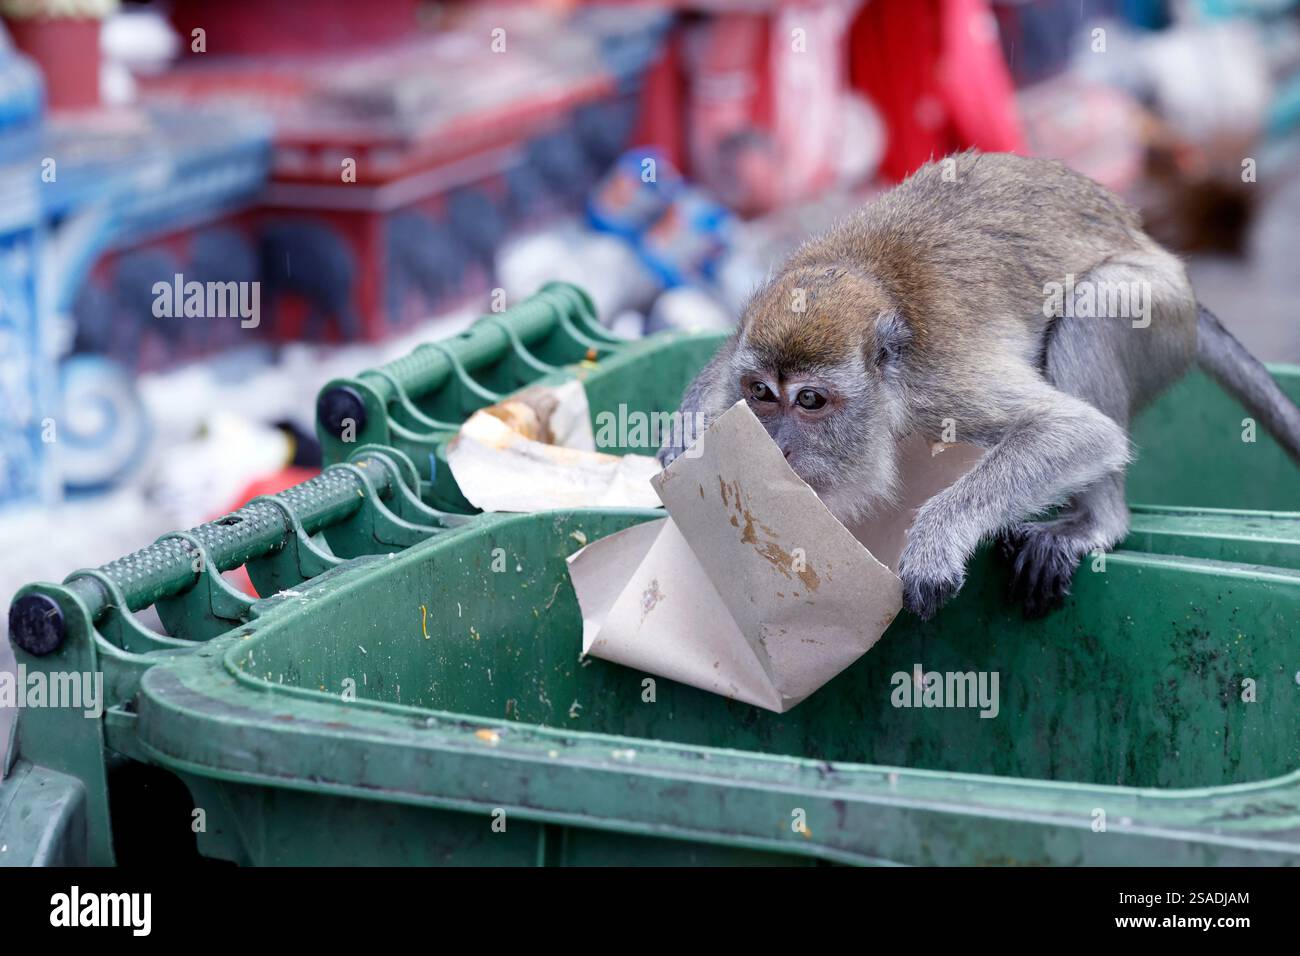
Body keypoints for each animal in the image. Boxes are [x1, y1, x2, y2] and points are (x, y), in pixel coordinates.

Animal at [657, 150, 1300, 620]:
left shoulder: (936, 387)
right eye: (761, 393)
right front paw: (685, 443)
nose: (777, 448)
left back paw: (1098, 521)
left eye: (810, 400)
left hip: (1159, 311)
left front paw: (933, 543)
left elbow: (1077, 432)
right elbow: (720, 367)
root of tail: (1153, 246)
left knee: (1094, 304)